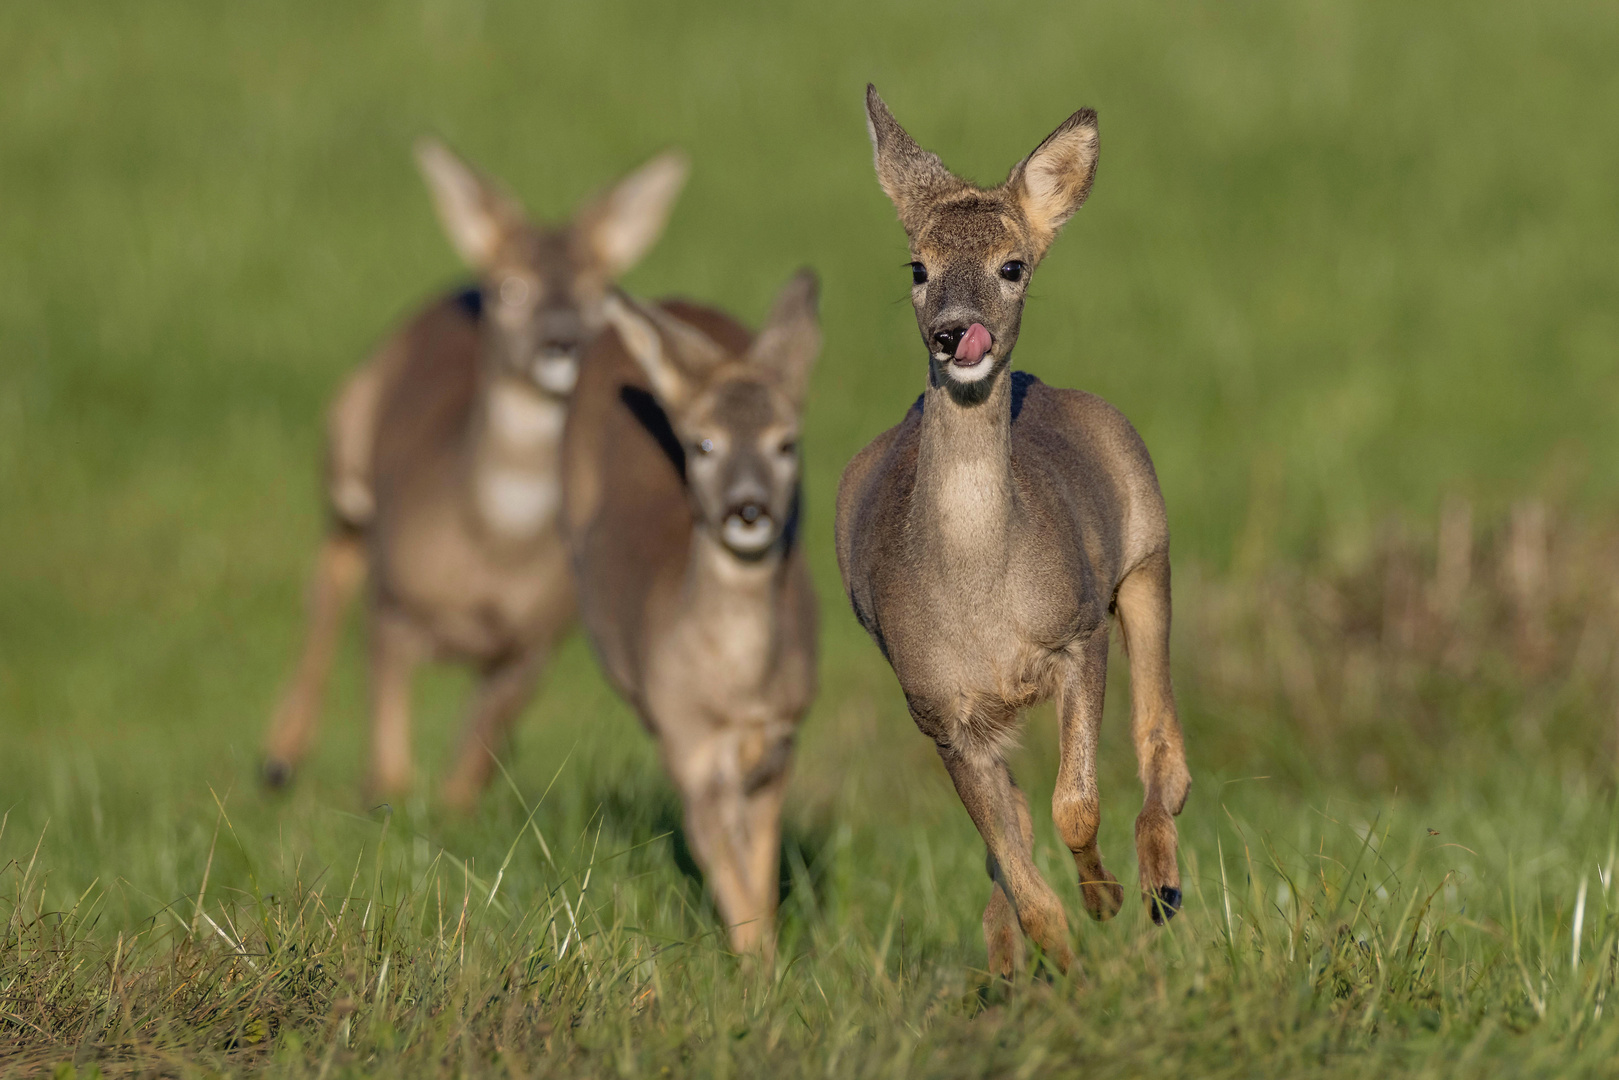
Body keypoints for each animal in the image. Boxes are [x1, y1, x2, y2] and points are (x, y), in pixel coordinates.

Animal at [260, 137, 689, 809]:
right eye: (511, 287)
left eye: (600, 292)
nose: (562, 342)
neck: (491, 554)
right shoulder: (391, 604)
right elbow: (388, 745)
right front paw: (384, 798)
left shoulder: (535, 645)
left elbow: (473, 751)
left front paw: (455, 805)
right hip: (347, 449)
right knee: (329, 577)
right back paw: (279, 758)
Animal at [563, 275, 822, 958]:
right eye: (703, 445)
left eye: (787, 443)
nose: (749, 508)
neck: (738, 685)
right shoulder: (690, 744)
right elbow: (725, 864)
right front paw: (756, 966)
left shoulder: (780, 740)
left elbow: (760, 865)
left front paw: (769, 961)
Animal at [835, 88, 1191, 977]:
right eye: (917, 267)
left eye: (1012, 266)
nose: (953, 332)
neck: (980, 594)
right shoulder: (937, 708)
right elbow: (1011, 850)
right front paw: (1058, 959)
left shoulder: (1076, 632)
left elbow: (1075, 805)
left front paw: (1103, 900)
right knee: (1019, 831)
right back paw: (1012, 954)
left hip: (1147, 555)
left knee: (1161, 743)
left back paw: (1160, 887)